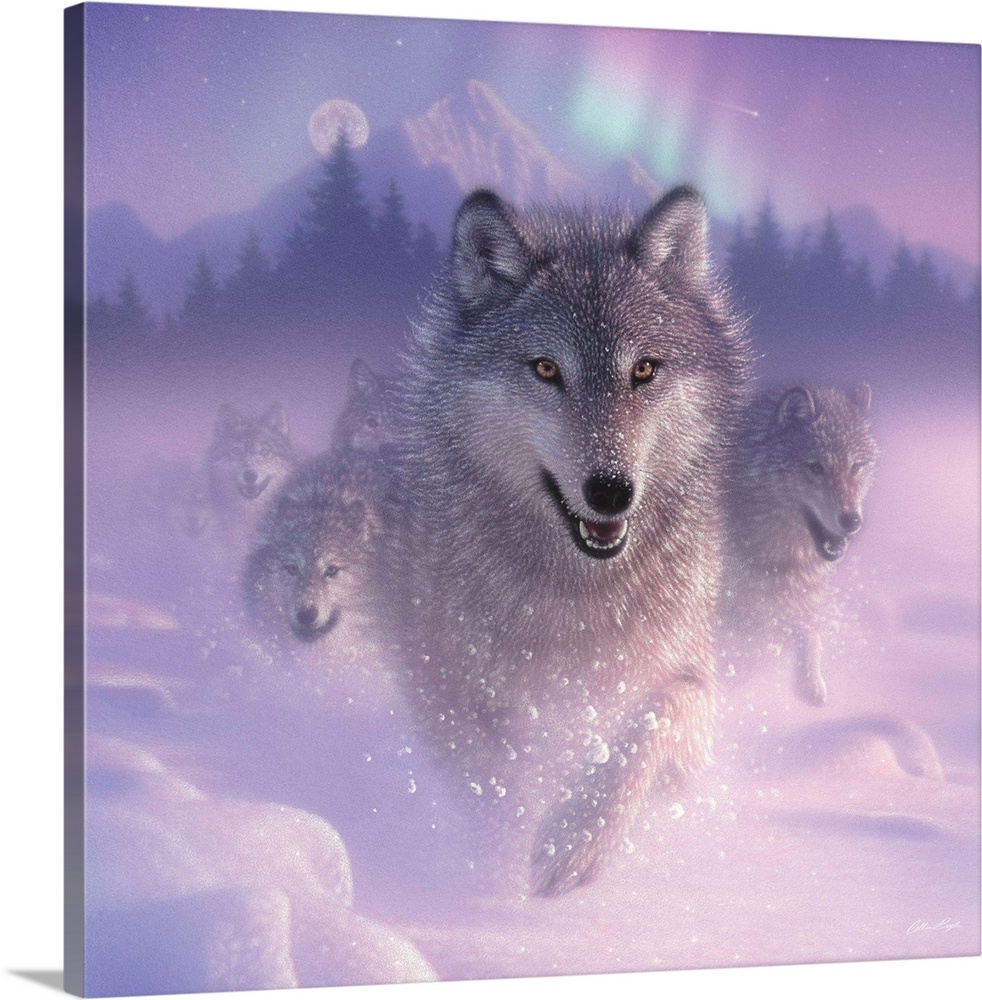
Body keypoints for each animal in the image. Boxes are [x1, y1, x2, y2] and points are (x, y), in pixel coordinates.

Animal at [385, 186, 751, 896]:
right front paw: (505, 843)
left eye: (644, 369)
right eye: (547, 368)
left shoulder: (687, 685)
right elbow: (494, 774)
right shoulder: (447, 682)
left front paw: (572, 840)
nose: (610, 490)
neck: (580, 594)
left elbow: (650, 721)